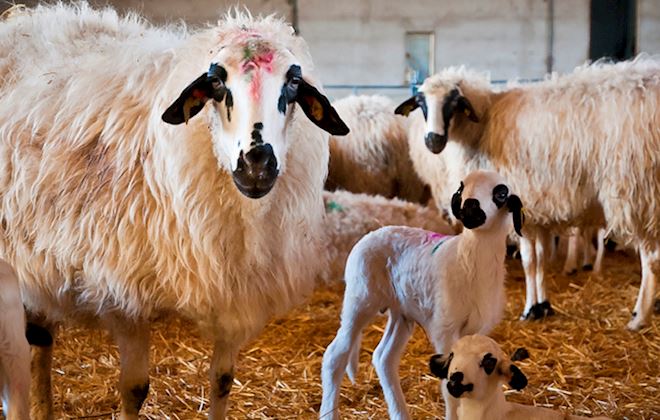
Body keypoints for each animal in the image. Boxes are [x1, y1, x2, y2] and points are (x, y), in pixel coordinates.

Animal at [0, 3, 348, 418]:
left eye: (292, 84)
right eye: (216, 82)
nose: (256, 165)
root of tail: (24, 18)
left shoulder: (234, 289)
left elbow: (223, 380)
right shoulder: (124, 293)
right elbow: (134, 389)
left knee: (39, 339)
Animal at [395, 59, 660, 329]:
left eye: (453, 103)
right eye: (421, 104)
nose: (433, 141)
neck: (482, 127)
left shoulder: (520, 206)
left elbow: (528, 261)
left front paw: (530, 309)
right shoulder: (539, 212)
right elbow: (540, 260)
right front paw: (543, 306)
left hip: (640, 193)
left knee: (651, 259)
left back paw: (639, 318)